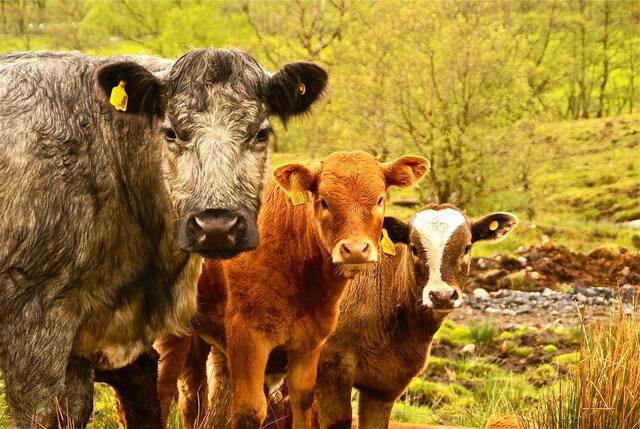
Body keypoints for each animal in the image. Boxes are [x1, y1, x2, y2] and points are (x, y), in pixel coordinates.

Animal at [0, 48, 327, 428]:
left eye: (260, 133)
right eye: (171, 133)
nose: (217, 226)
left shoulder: (80, 334)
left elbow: (75, 408)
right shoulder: (33, 318)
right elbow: (41, 412)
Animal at [148, 150, 430, 429]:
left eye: (379, 199)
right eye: (324, 201)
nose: (356, 250)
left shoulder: (311, 343)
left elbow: (302, 403)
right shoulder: (248, 337)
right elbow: (250, 411)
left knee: (193, 397)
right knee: (163, 386)